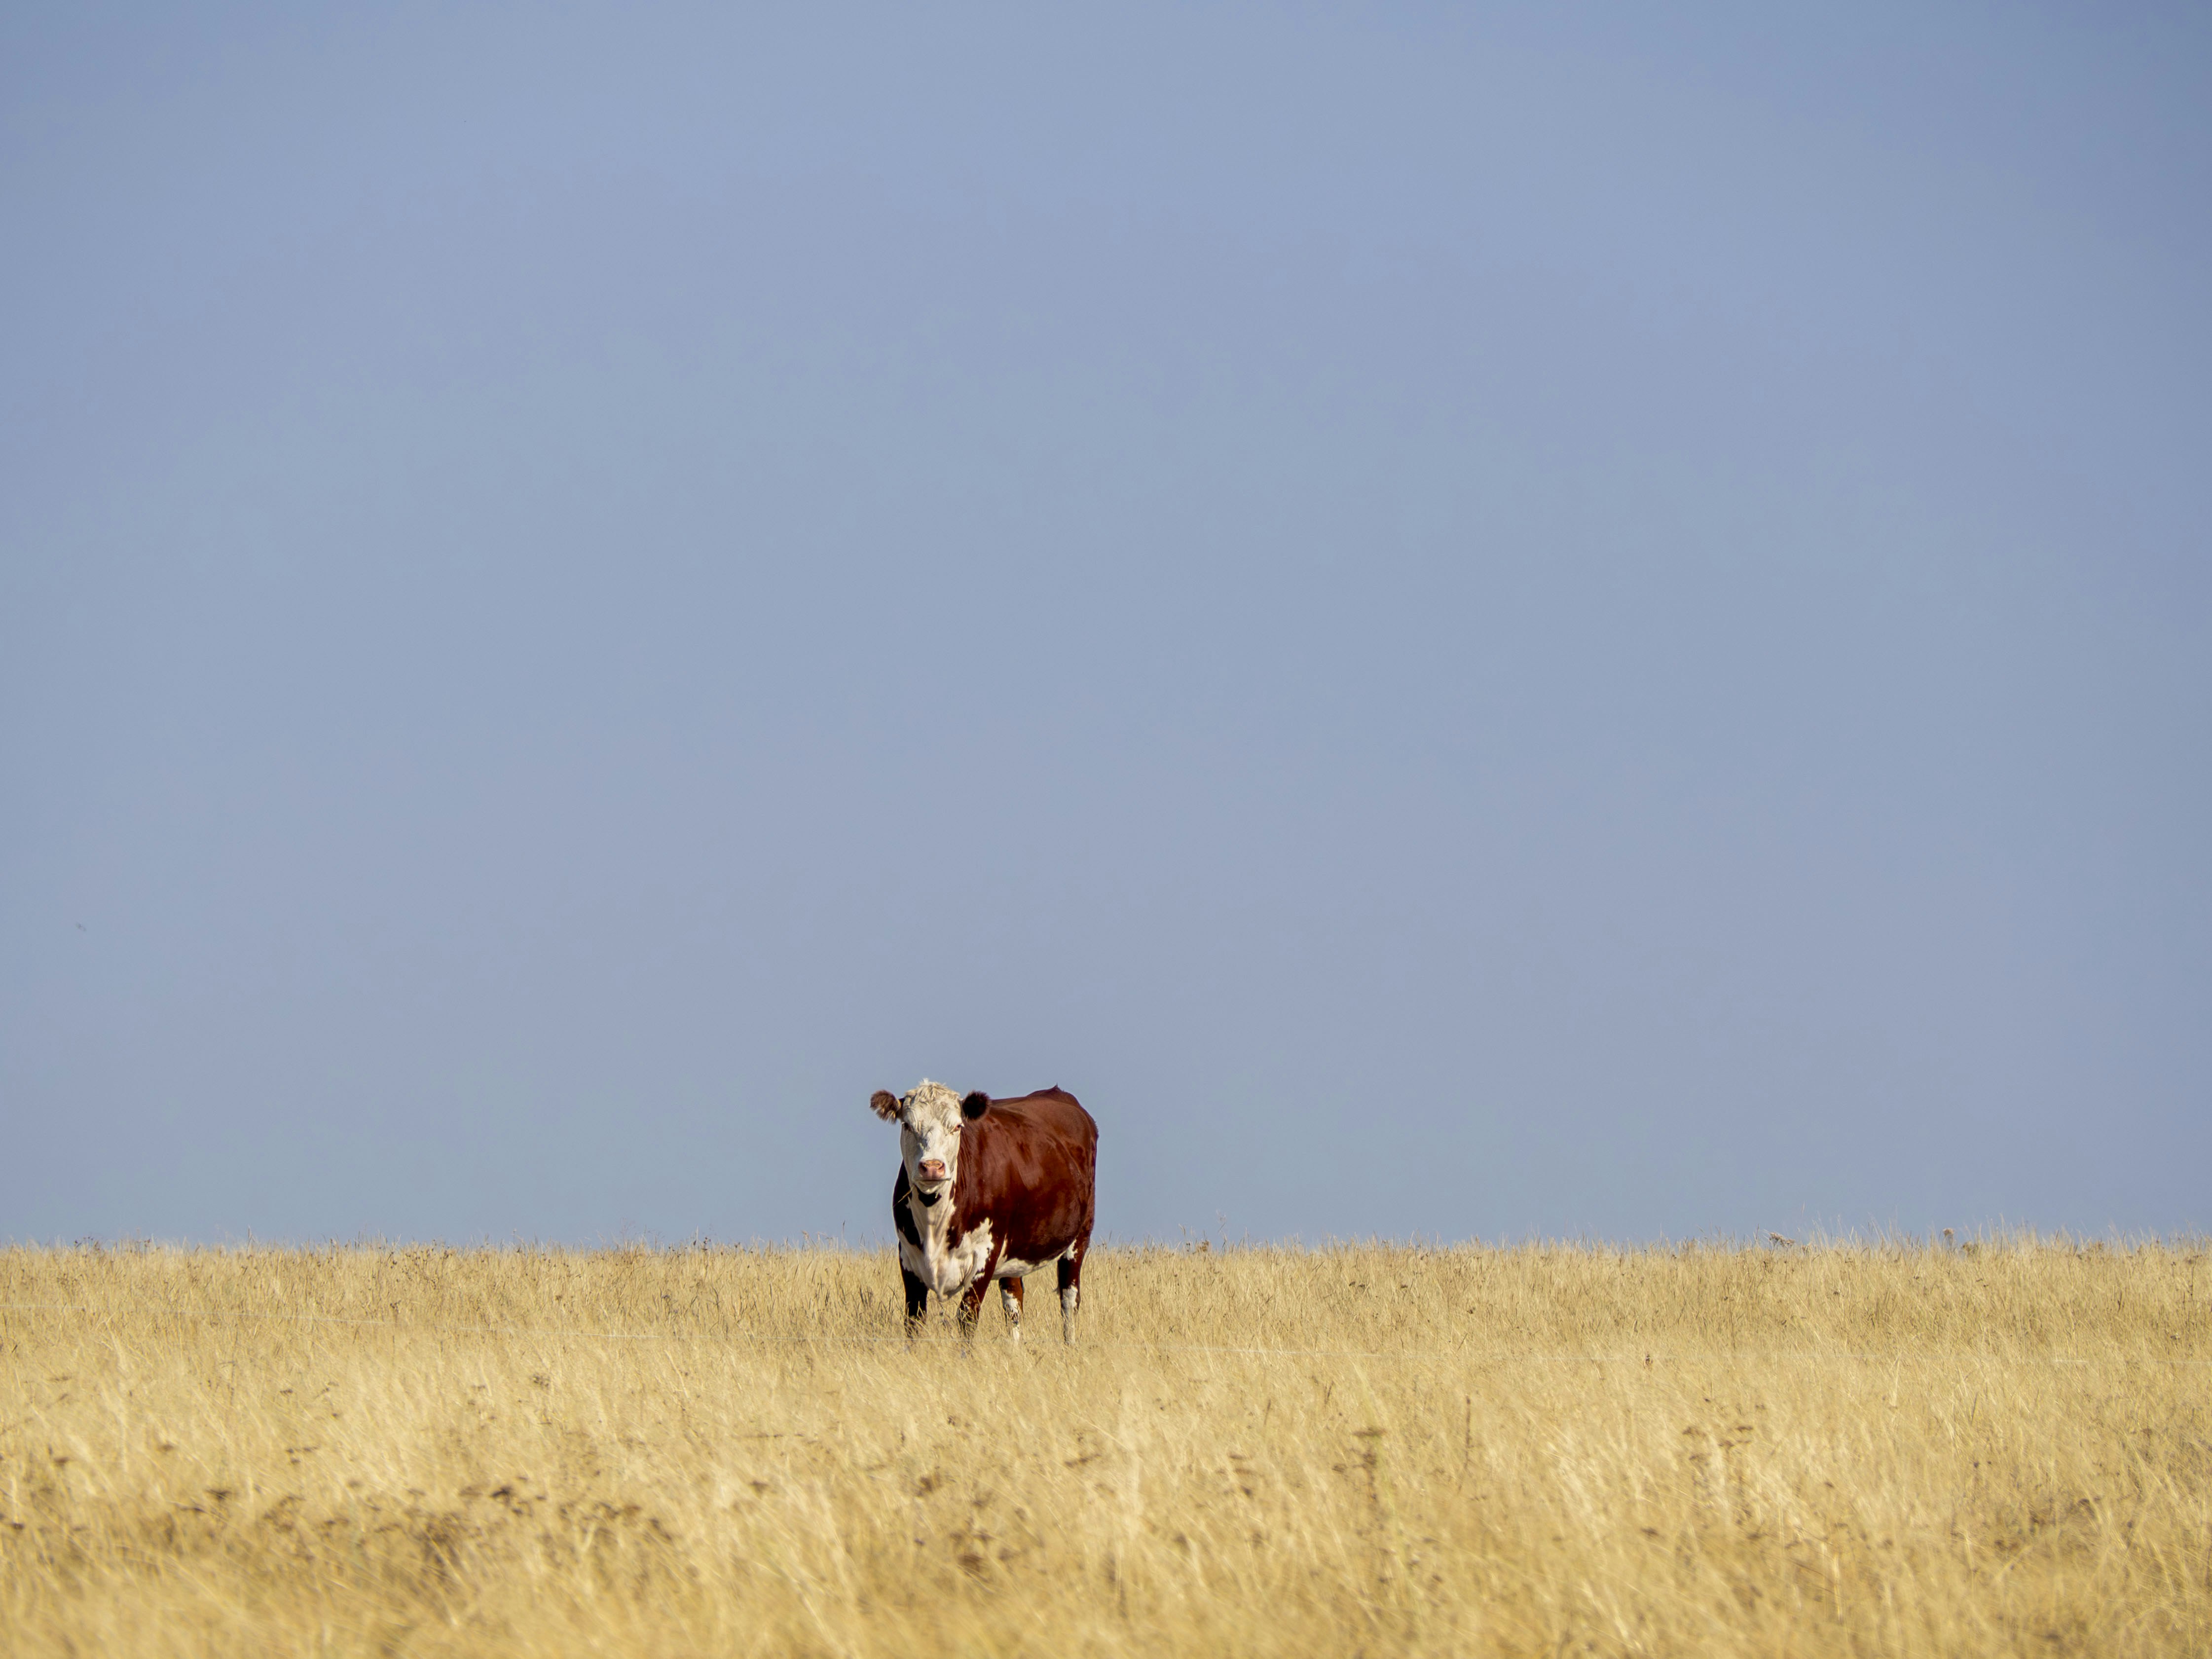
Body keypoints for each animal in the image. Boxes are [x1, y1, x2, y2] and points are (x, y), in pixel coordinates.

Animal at [868, 1080, 1097, 1344]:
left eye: (957, 1127)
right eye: (907, 1125)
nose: (932, 1167)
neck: (934, 1224)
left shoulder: (986, 1252)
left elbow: (968, 1318)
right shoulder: (907, 1256)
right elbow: (914, 1321)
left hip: (1080, 1237)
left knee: (1069, 1301)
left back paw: (1070, 1345)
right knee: (1014, 1303)